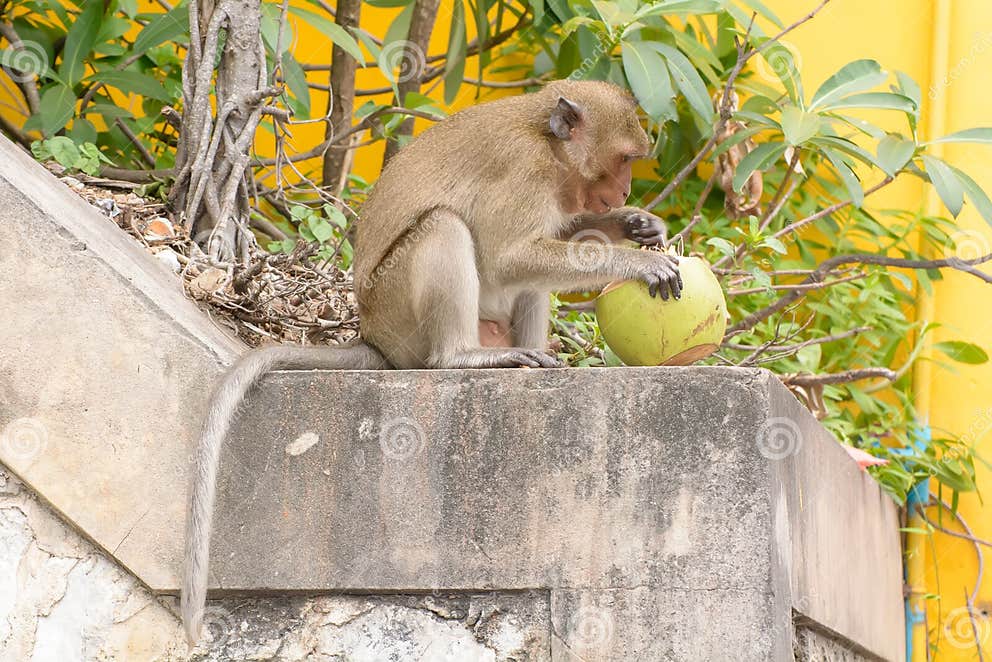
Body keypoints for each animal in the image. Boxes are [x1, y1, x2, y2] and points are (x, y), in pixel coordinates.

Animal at [182, 79, 682, 643]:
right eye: (624, 159)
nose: (625, 192)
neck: (548, 146)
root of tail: (372, 335)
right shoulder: (525, 171)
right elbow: (509, 256)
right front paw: (638, 261)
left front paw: (637, 225)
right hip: (400, 309)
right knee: (444, 226)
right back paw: (463, 358)